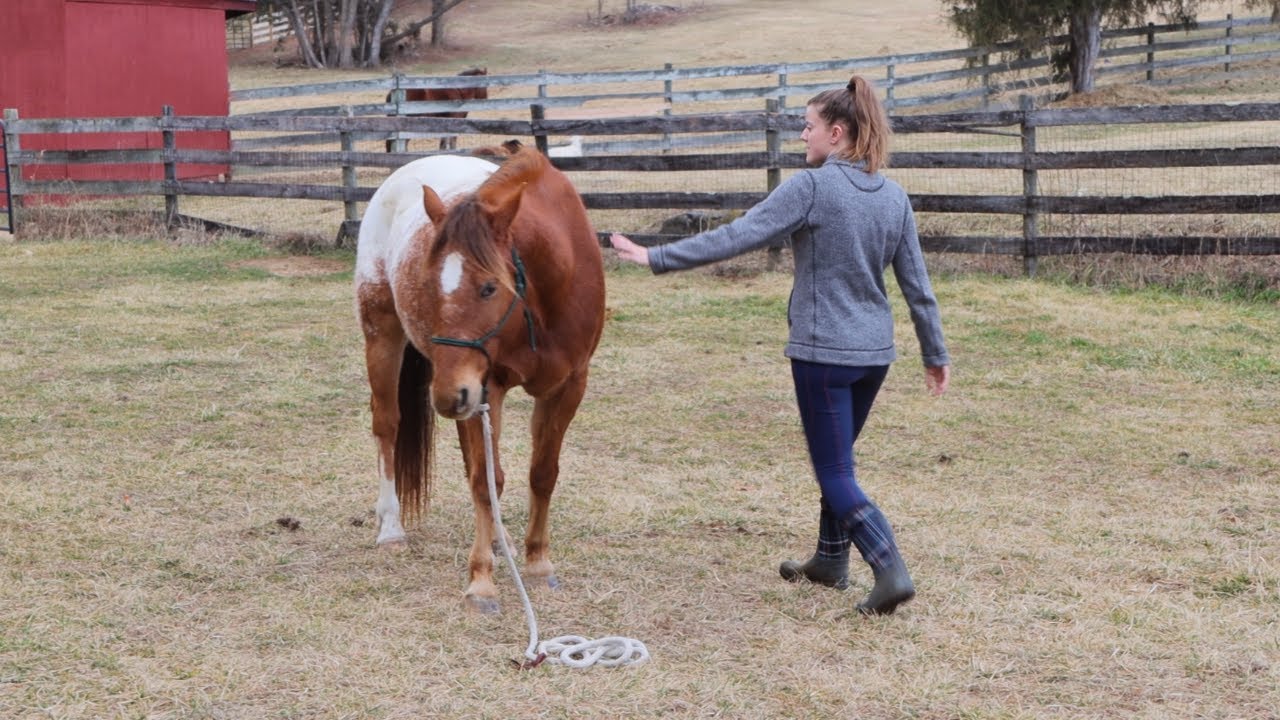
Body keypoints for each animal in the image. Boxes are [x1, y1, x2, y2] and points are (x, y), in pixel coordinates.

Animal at [354, 147, 606, 613]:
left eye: (490, 288)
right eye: (428, 285)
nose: (446, 397)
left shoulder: (567, 386)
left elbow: (540, 473)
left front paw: (537, 563)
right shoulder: (485, 386)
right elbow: (487, 482)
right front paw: (481, 582)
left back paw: (500, 538)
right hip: (386, 337)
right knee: (387, 426)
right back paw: (391, 528)